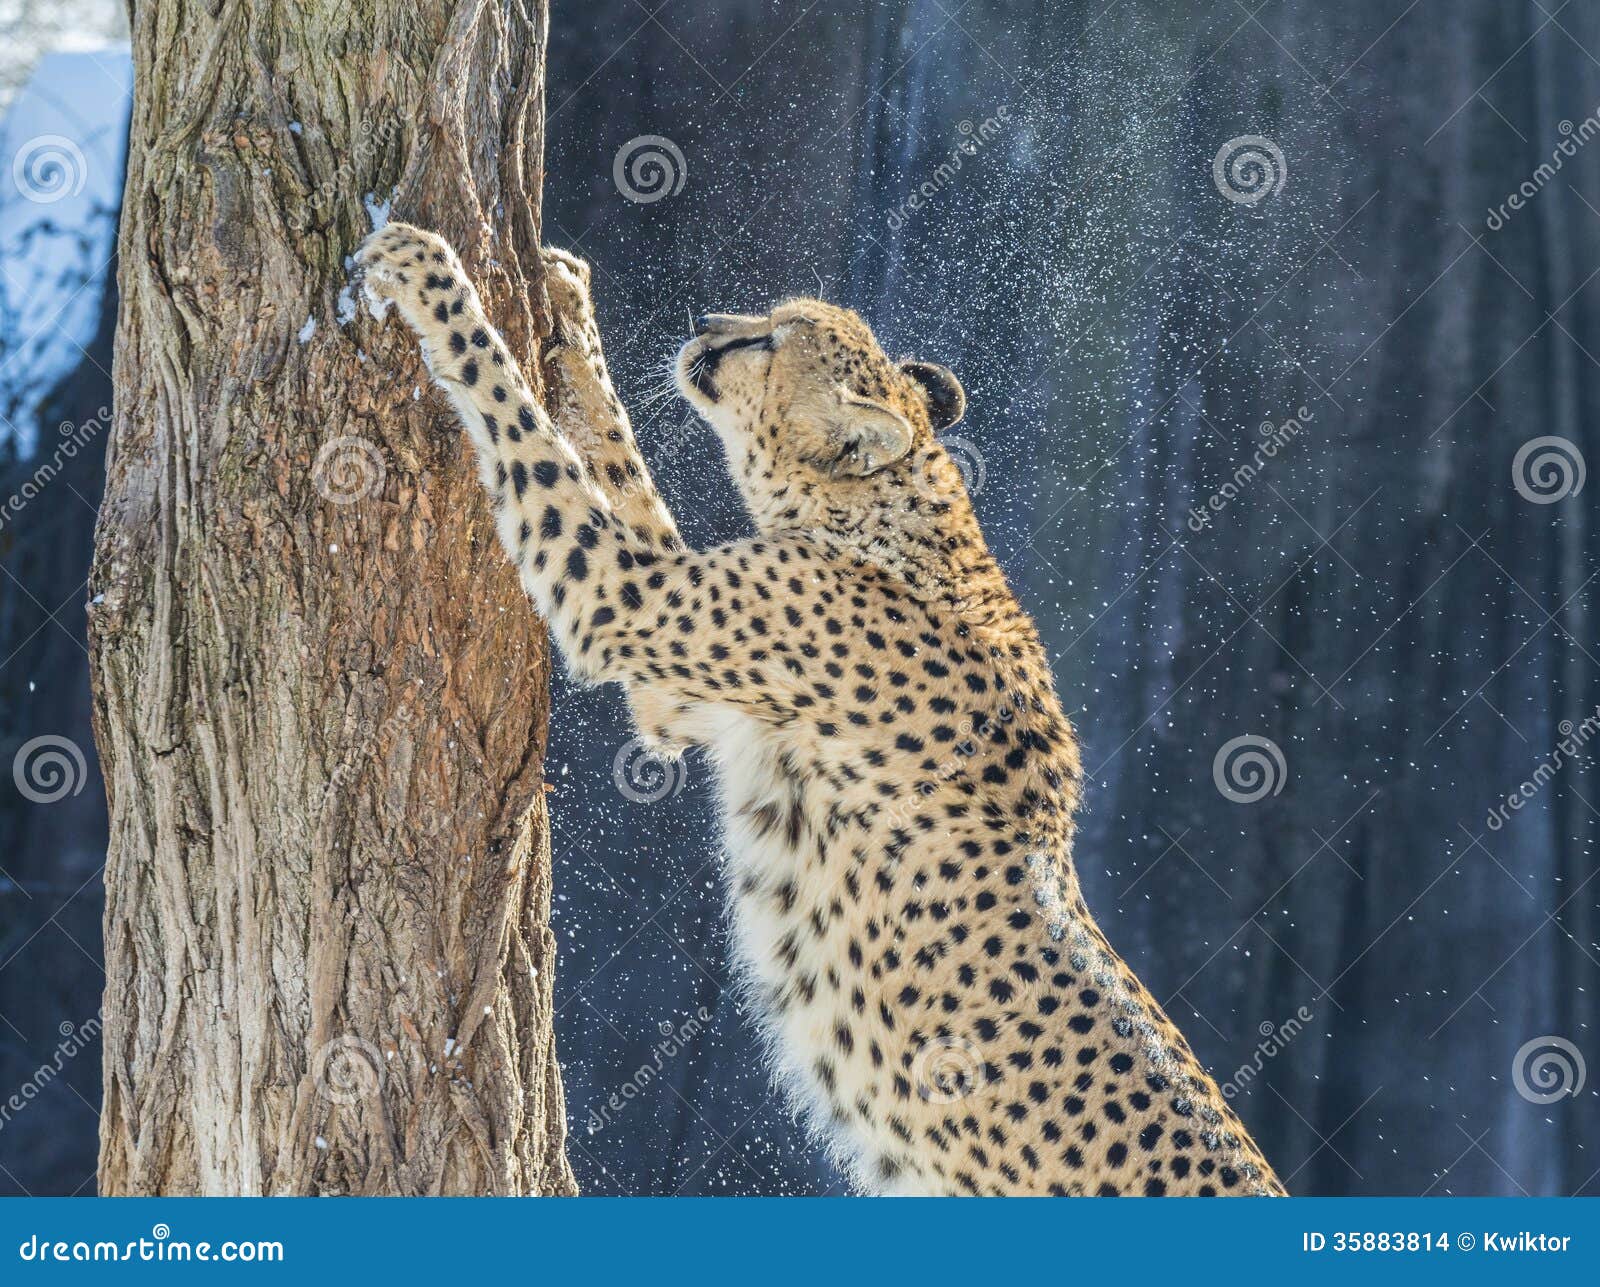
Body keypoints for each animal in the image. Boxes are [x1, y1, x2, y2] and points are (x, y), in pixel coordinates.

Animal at [354, 221, 1286, 1197]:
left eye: (770, 340)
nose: (705, 324)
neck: (895, 508)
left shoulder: (626, 600)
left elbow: (523, 425)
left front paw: (429, 276)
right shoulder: (681, 686)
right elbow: (614, 454)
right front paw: (570, 307)